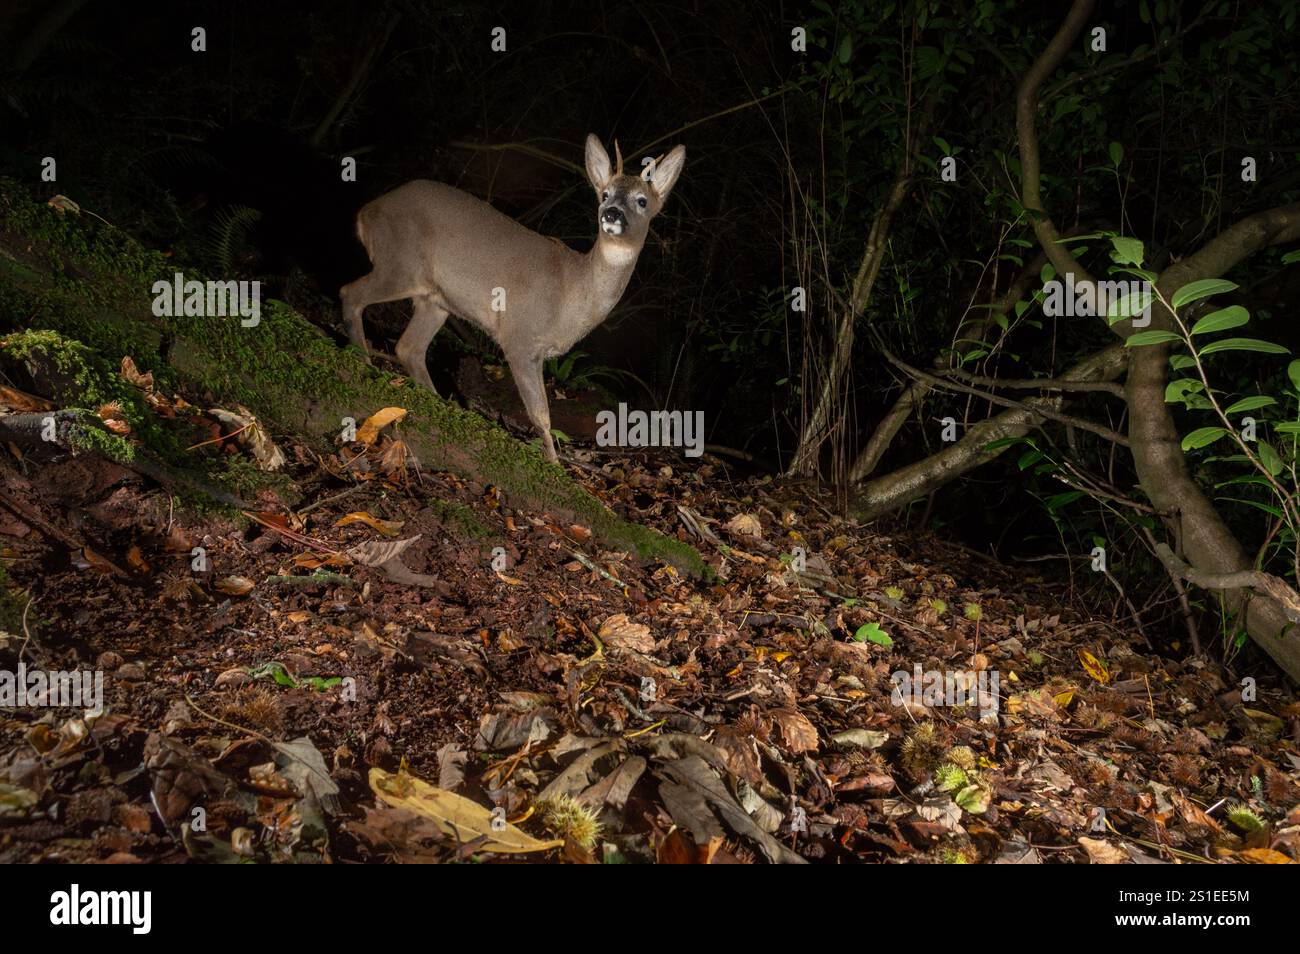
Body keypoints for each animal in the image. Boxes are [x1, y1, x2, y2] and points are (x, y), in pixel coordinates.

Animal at [340, 134, 686, 463]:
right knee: (351, 294)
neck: (572, 293)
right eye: (605, 194)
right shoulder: (519, 336)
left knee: (408, 347)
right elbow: (541, 414)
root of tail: (366, 211)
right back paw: (364, 362)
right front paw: (554, 464)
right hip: (401, 261)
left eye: (642, 200)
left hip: (435, 299)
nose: (612, 213)